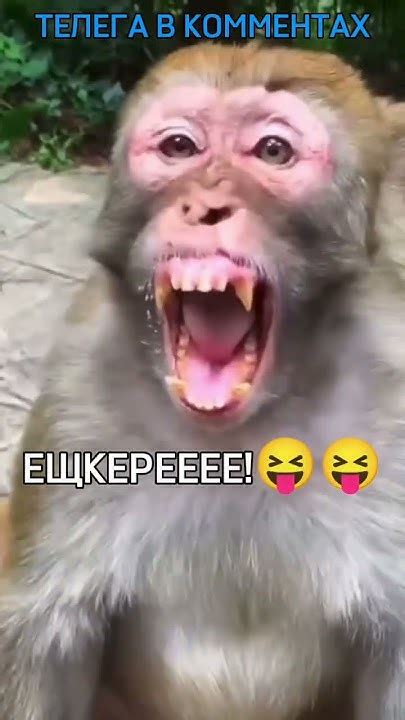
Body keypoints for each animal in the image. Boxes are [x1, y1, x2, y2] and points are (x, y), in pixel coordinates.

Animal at [1, 41, 405, 720]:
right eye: (179, 147)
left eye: (273, 151)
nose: (205, 208)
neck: (236, 442)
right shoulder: (75, 401)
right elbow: (45, 645)